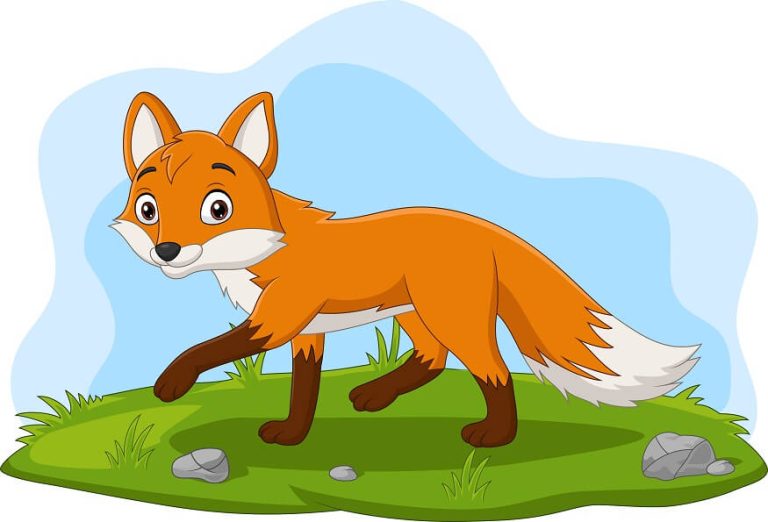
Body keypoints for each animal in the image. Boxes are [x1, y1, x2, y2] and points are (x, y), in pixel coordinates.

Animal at [113, 91, 699, 448]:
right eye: (148, 209)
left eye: (217, 209)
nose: (168, 251)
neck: (269, 250)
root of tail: (483, 226)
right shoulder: (307, 332)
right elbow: (304, 389)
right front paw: (293, 435)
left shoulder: (275, 320)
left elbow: (205, 349)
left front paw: (171, 383)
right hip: (414, 313)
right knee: (433, 360)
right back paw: (373, 396)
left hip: (452, 317)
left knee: (493, 371)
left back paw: (494, 437)